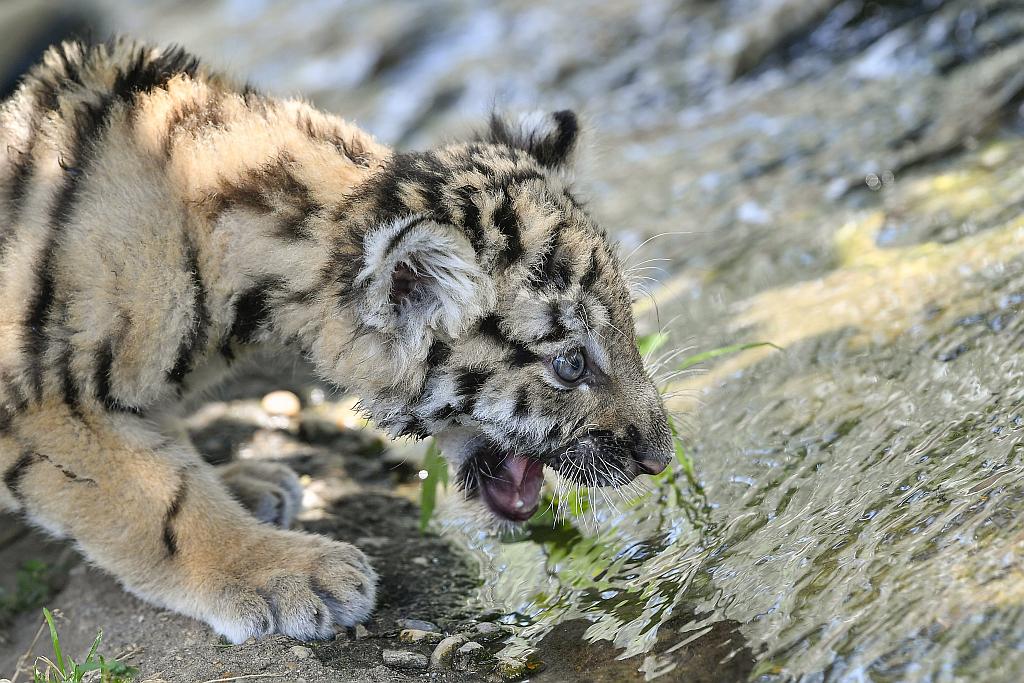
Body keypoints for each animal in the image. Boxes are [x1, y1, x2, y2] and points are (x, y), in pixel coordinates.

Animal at [0, 39, 673, 643]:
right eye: (571, 363)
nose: (660, 459)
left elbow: (164, 450)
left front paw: (239, 488)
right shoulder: (41, 403)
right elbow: (156, 501)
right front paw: (286, 576)